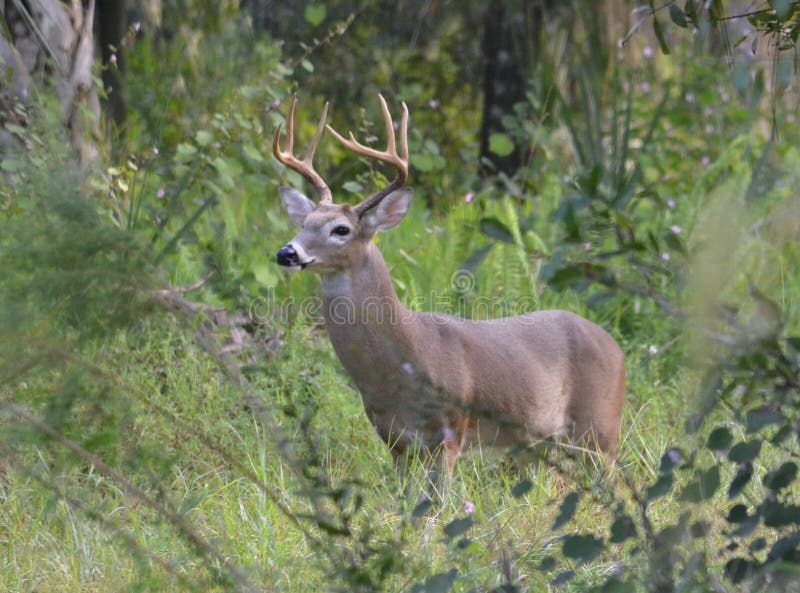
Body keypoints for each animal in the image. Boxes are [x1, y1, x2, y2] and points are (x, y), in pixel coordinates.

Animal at [271, 94, 626, 480]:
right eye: (305, 222)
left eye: (341, 229)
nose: (287, 252)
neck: (403, 360)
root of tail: (616, 348)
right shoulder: (395, 440)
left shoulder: (450, 431)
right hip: (541, 442)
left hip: (600, 429)